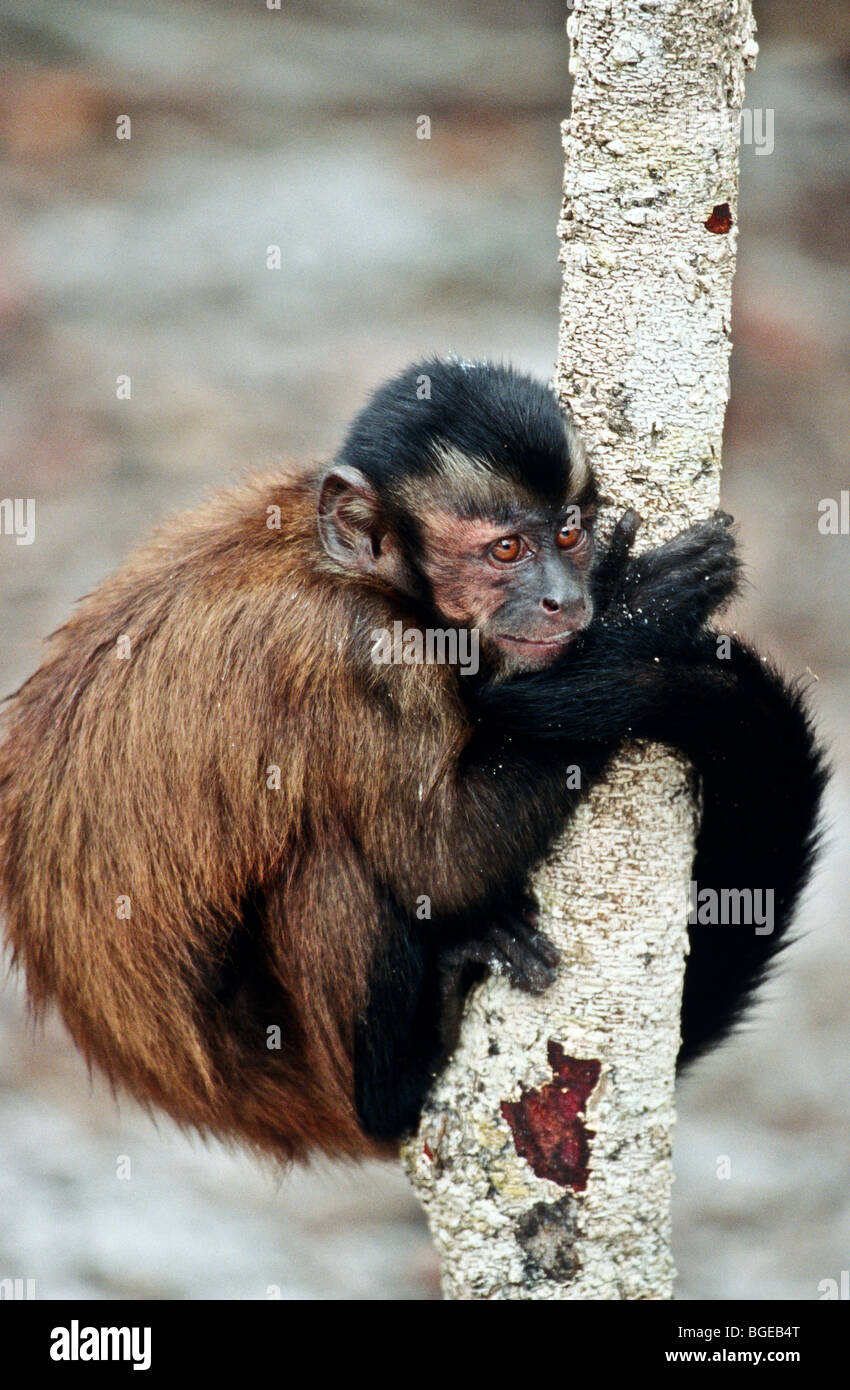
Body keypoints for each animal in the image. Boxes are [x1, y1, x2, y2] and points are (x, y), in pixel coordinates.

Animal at [0, 357, 826, 1161]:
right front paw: (637, 617)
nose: (564, 600)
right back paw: (404, 1070)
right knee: (332, 856)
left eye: (567, 536)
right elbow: (439, 860)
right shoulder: (363, 653)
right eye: (505, 549)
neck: (359, 574)